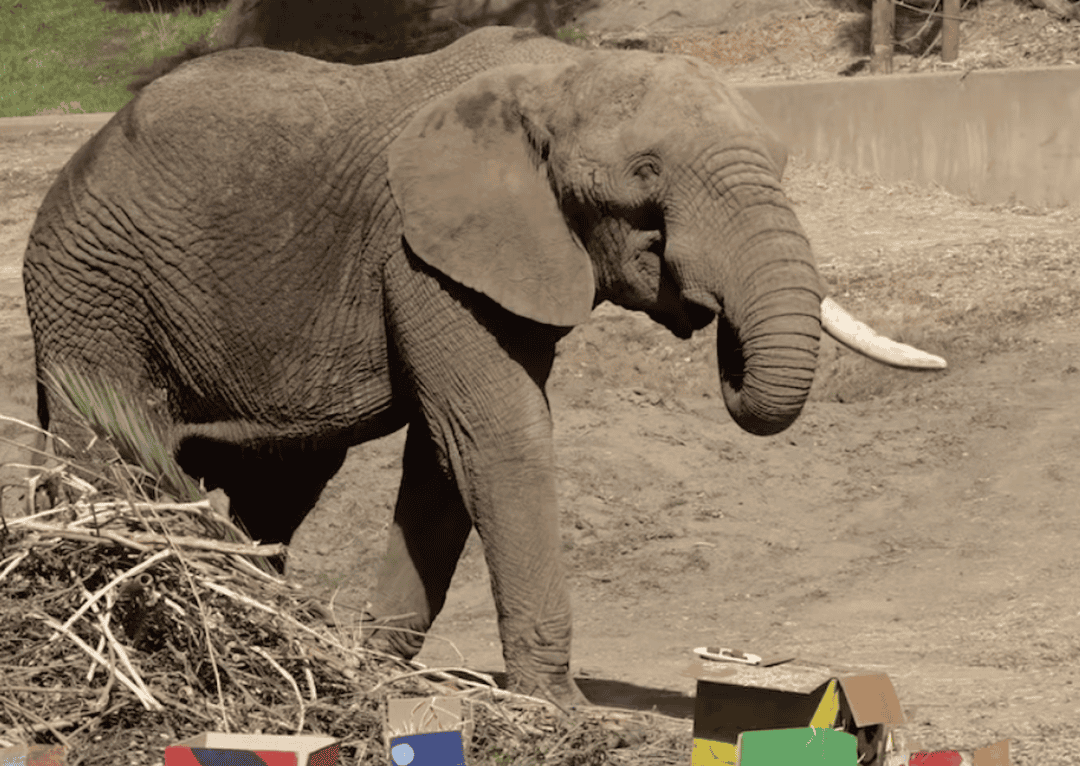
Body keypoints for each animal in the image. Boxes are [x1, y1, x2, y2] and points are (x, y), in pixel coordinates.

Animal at [23, 26, 945, 709]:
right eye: (646, 173)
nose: (709, 315)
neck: (559, 73)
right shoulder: (419, 247)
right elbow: (496, 432)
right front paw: (564, 709)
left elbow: (447, 454)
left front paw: (378, 672)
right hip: (91, 282)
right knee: (112, 451)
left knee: (275, 482)